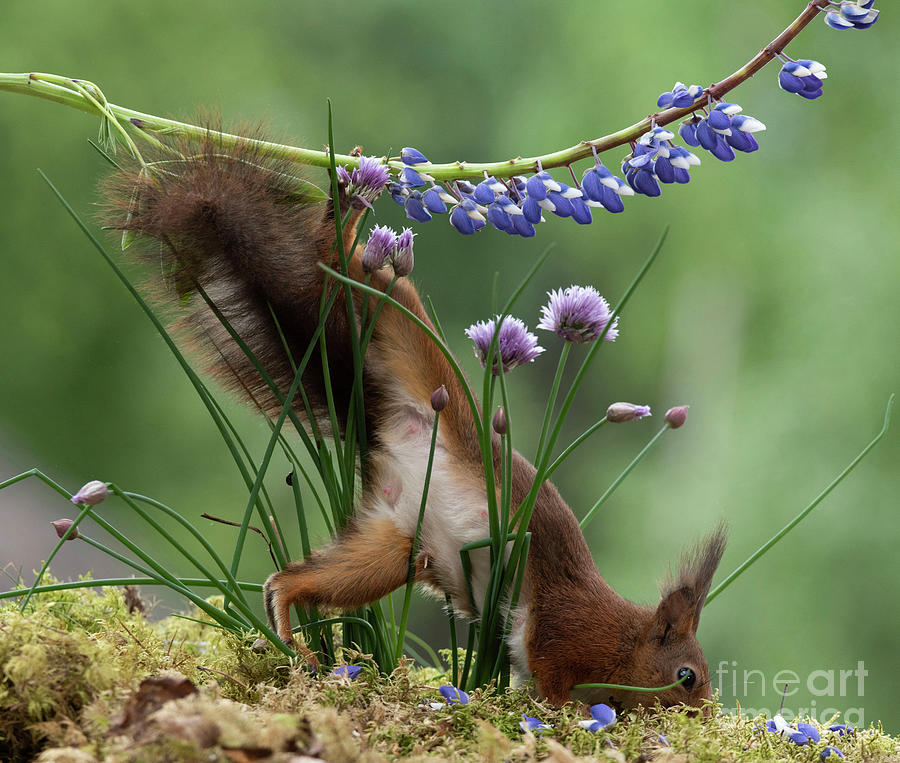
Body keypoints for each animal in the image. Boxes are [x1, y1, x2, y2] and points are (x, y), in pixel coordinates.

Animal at [101, 133, 726, 711]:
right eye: (687, 676)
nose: (703, 714)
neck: (623, 635)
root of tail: (393, 424)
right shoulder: (561, 633)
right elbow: (547, 683)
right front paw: (557, 717)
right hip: (403, 327)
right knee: (347, 267)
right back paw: (347, 215)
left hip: (394, 544)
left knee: (297, 580)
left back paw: (289, 632)